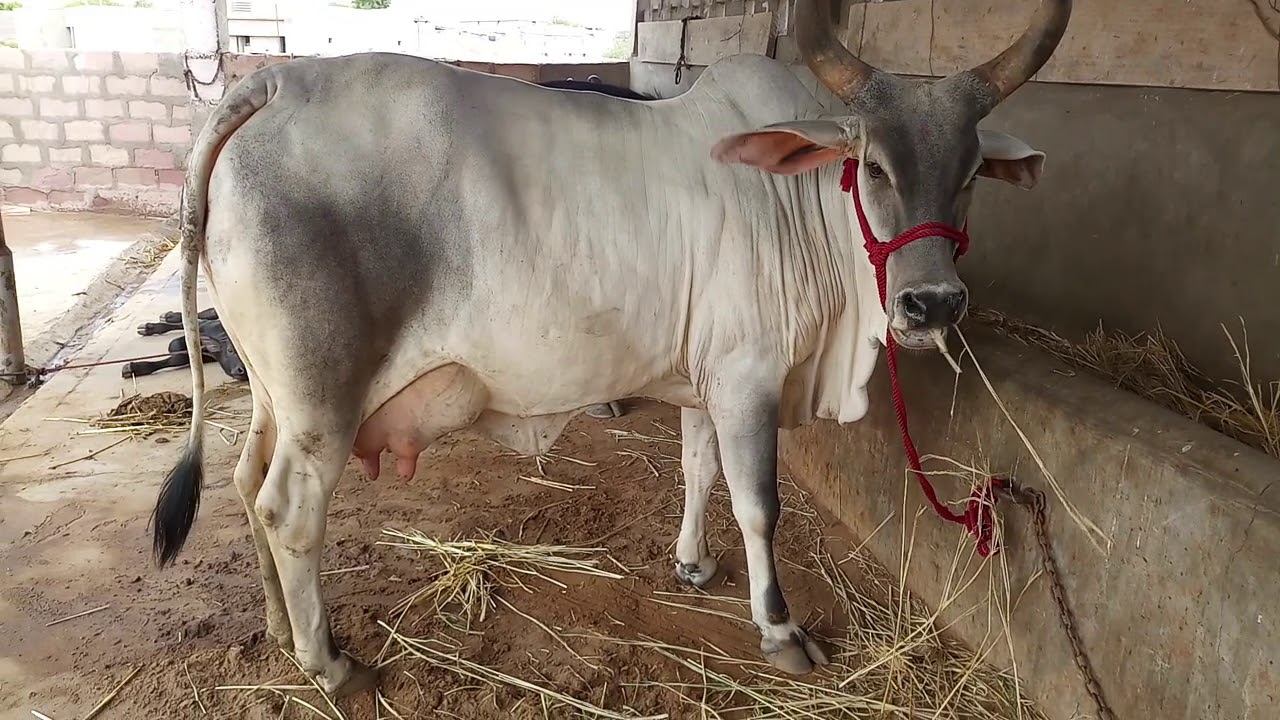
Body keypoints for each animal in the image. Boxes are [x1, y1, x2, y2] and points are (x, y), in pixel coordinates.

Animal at [151, 0, 1071, 696]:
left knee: (244, 484)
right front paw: (779, 628)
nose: (933, 301)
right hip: (323, 402)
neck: (799, 201)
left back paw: (279, 626)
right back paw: (329, 662)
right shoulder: (749, 379)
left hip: (274, 392)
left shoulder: (708, 382)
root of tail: (273, 79)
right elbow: (759, 504)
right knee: (287, 509)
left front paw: (693, 565)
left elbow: (701, 472)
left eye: (969, 174)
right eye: (873, 166)